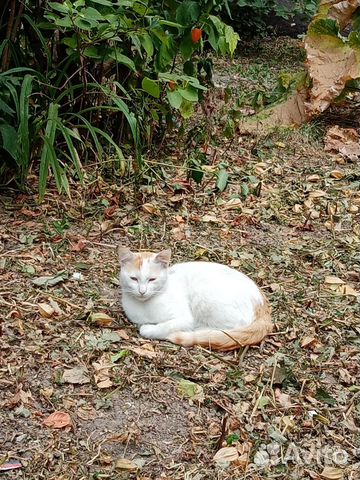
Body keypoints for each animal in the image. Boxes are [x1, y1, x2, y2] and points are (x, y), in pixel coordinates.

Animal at [118, 246, 272, 350]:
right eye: (133, 279)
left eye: (152, 279)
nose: (142, 291)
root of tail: (263, 305)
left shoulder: (185, 319)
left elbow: (161, 327)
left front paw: (149, 329)